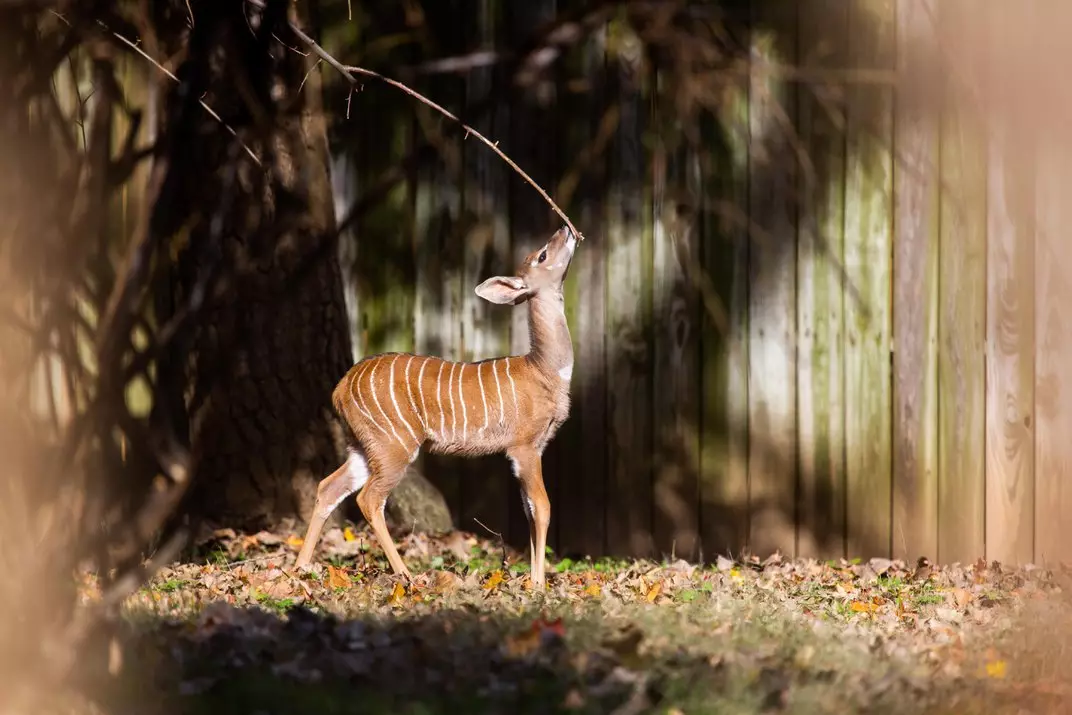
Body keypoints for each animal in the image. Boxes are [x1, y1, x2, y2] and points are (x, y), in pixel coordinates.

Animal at [293, 225, 578, 587]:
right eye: (542, 255)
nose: (565, 229)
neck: (544, 369)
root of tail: (340, 389)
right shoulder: (524, 446)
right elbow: (542, 507)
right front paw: (538, 584)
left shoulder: (533, 448)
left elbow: (529, 509)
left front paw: (533, 579)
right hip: (395, 445)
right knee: (369, 498)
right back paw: (406, 575)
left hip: (363, 446)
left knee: (330, 487)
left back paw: (300, 567)